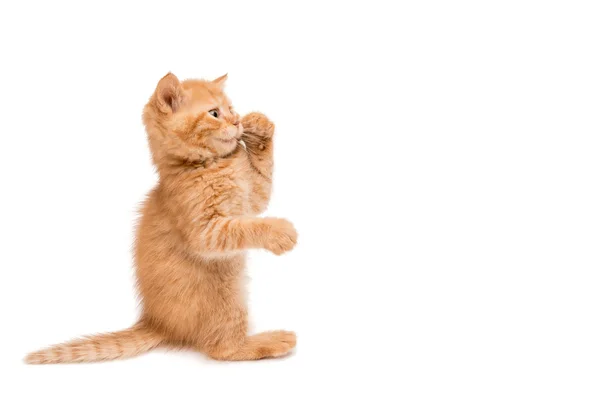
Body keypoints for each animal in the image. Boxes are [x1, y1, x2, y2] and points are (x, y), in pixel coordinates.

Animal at [25, 73, 298, 364]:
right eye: (214, 113)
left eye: (232, 109)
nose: (236, 121)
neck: (209, 164)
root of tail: (157, 322)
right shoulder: (205, 231)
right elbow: (246, 227)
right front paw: (281, 232)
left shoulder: (252, 198)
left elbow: (263, 177)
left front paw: (259, 125)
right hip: (226, 293)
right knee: (222, 348)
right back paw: (272, 340)